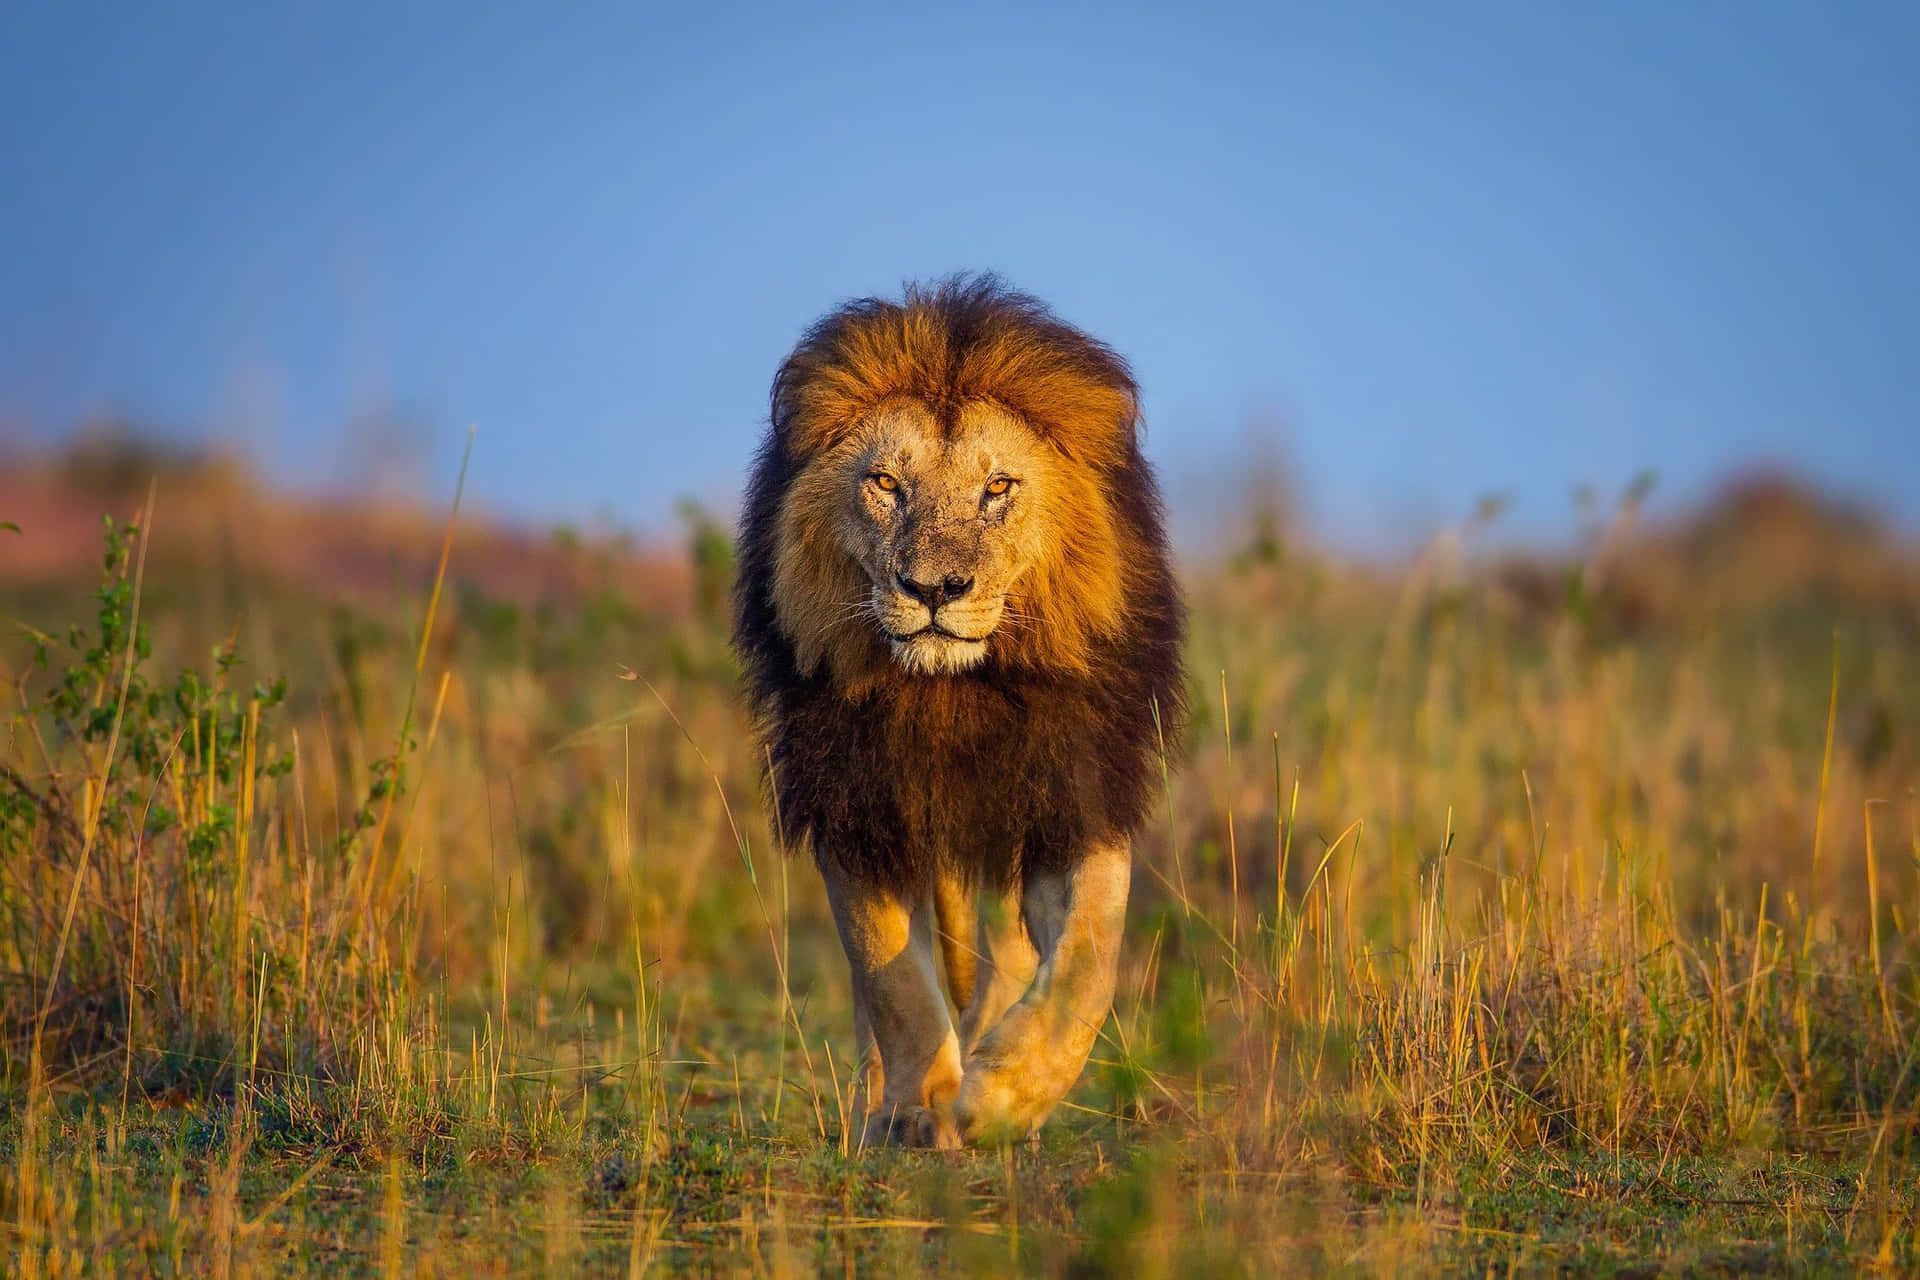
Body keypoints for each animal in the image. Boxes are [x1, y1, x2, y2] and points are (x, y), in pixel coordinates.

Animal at [733, 275, 1185, 1147]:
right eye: (886, 484)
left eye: (997, 487)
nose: (934, 589)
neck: (952, 694)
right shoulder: (857, 800)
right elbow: (891, 977)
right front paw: (918, 1107)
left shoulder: (1071, 794)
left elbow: (1088, 960)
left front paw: (1003, 1096)